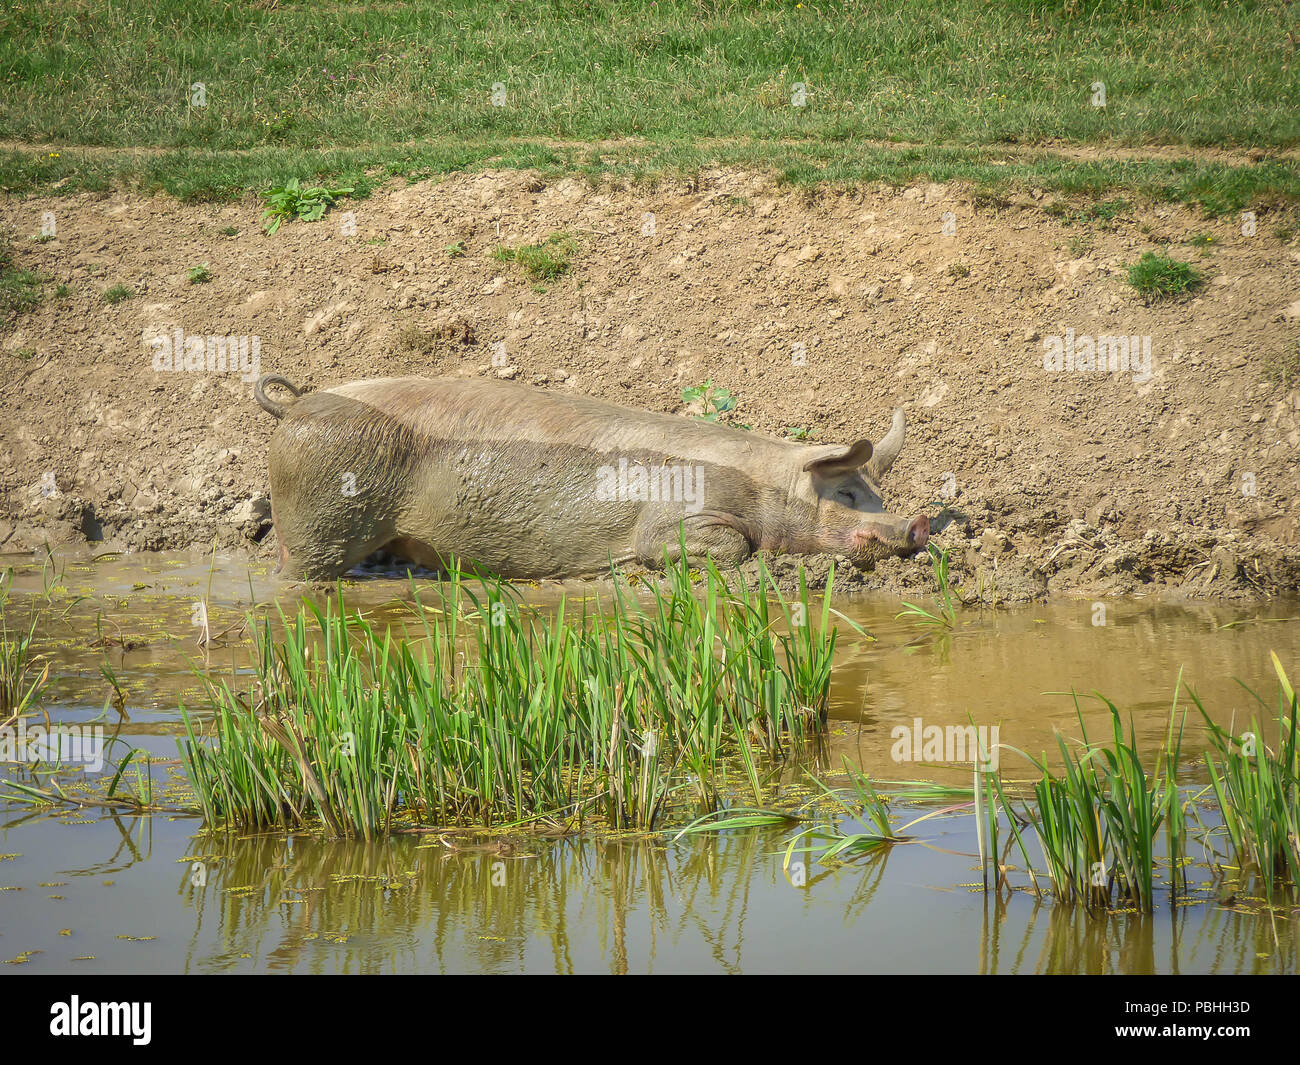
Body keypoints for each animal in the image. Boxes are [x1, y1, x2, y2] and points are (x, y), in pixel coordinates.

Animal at [254, 374, 929, 580]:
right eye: (846, 492)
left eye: (879, 494)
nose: (917, 523)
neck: (763, 481)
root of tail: (294, 407)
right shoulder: (677, 515)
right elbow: (721, 546)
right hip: (320, 506)